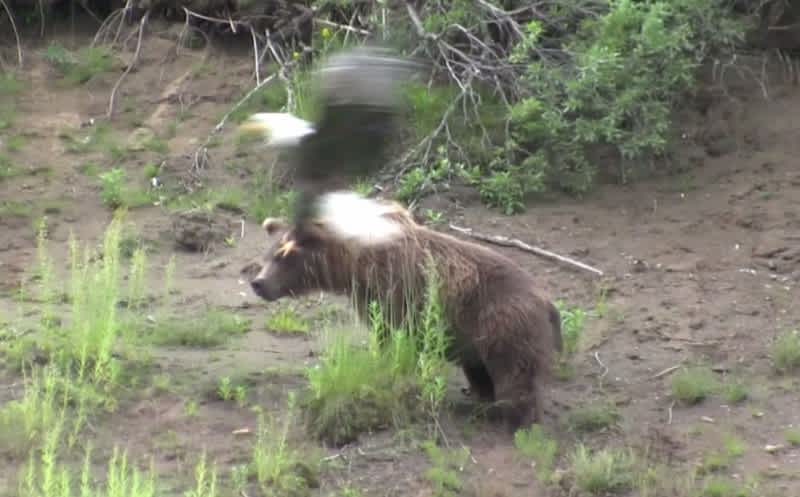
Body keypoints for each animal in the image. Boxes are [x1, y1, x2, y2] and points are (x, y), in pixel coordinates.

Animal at [244, 191, 562, 431]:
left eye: (285, 255)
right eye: (269, 254)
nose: (258, 283)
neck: (354, 266)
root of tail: (547, 300)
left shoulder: (395, 291)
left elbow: (390, 335)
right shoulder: (371, 294)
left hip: (503, 322)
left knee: (516, 376)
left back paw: (515, 420)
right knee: (481, 371)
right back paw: (480, 402)